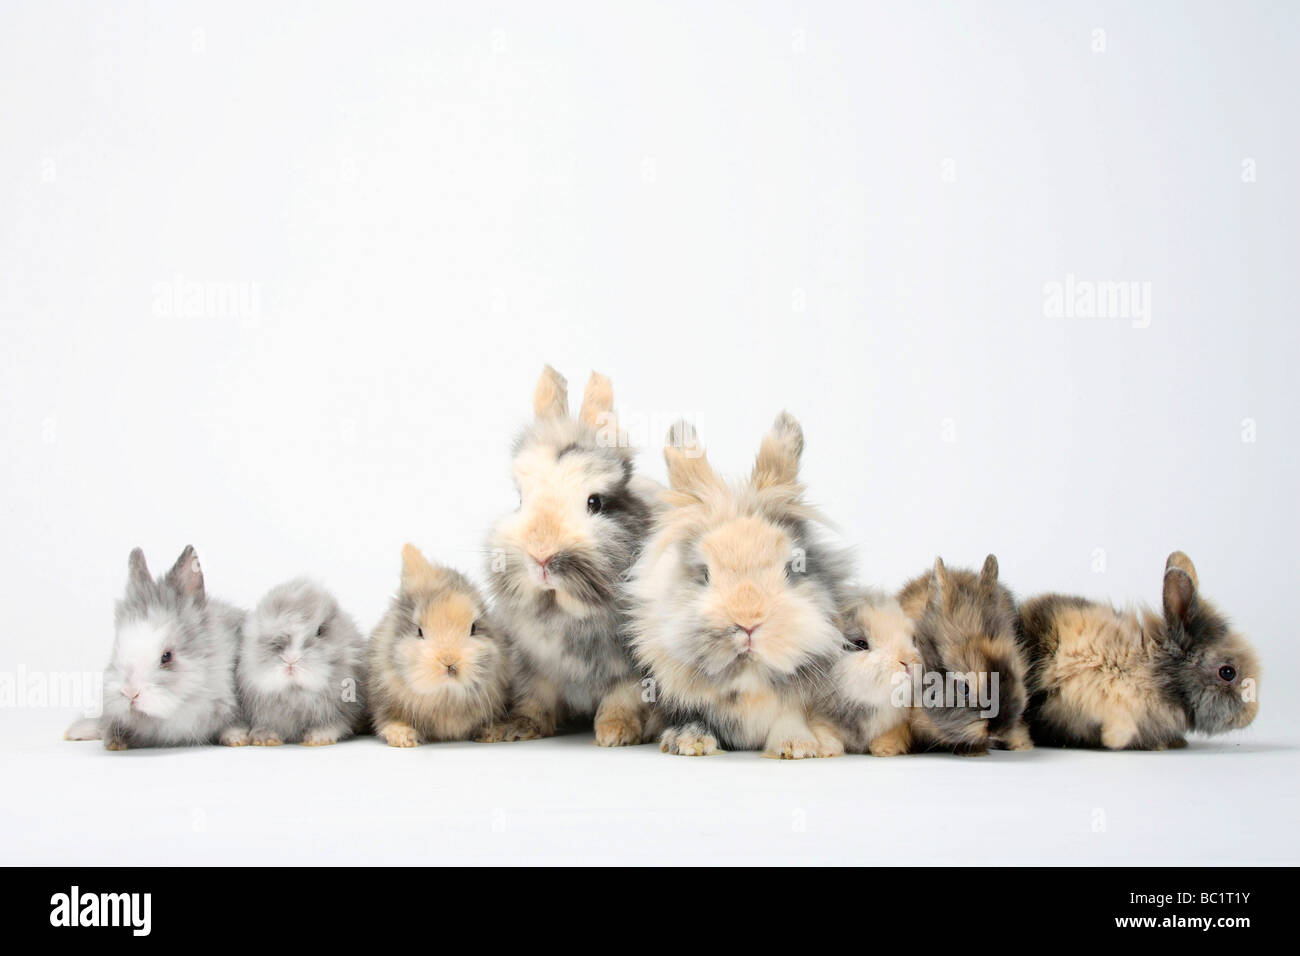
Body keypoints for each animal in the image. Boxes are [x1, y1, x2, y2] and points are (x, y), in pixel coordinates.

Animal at [237, 578, 368, 746]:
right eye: (265, 630)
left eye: (320, 631)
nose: (291, 659)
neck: (295, 693)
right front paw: (265, 738)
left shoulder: (341, 710)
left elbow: (334, 724)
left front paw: (318, 738)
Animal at [368, 543, 511, 746]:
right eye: (419, 630)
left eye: (474, 627)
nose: (449, 661)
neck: (445, 695)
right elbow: (389, 720)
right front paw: (403, 738)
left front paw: (492, 734)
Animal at [481, 365, 660, 747]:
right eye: (520, 500)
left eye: (595, 502)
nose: (541, 556)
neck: (566, 610)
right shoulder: (534, 667)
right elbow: (534, 701)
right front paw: (516, 728)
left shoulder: (633, 672)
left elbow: (623, 700)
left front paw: (614, 733)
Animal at [629, 413, 853, 758]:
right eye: (704, 574)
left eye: (792, 569)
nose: (748, 623)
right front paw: (689, 741)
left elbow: (791, 717)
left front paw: (798, 746)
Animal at [809, 589, 923, 757]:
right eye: (860, 643)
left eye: (913, 639)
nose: (907, 661)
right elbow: (824, 733)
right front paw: (827, 751)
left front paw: (882, 749)